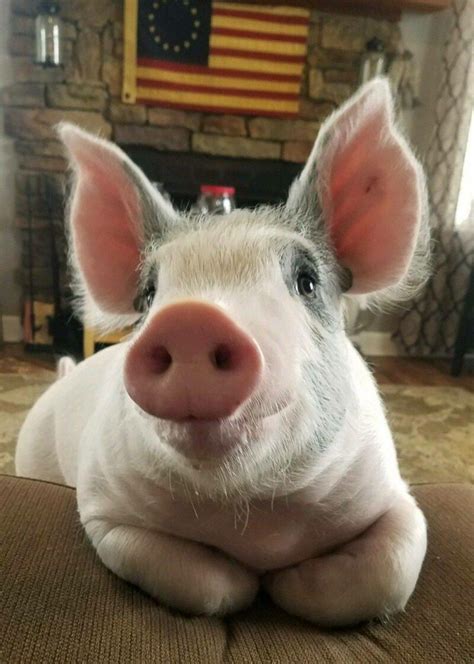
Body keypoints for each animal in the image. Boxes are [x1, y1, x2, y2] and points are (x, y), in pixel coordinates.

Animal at [16, 79, 429, 627]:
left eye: (306, 280)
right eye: (150, 295)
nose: (191, 318)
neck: (253, 520)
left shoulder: (394, 493)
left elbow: (393, 567)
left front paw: (289, 582)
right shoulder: (103, 511)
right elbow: (200, 582)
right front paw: (248, 585)